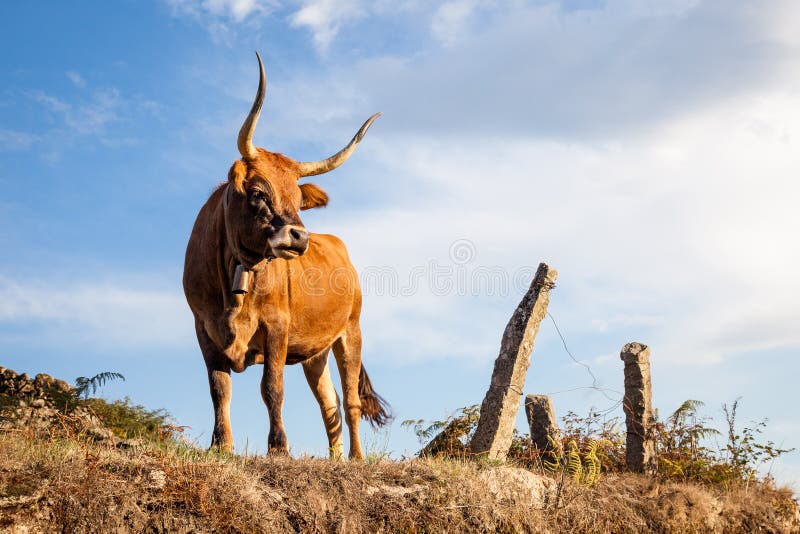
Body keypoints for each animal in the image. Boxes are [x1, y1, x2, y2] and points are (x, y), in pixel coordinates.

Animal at [183, 52, 390, 459]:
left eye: (297, 199)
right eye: (258, 192)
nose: (299, 237)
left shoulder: (277, 326)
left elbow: (272, 387)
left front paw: (278, 447)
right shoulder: (203, 326)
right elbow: (219, 388)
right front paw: (221, 445)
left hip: (351, 332)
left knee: (351, 401)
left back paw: (356, 457)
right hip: (315, 352)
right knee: (330, 404)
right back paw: (335, 459)